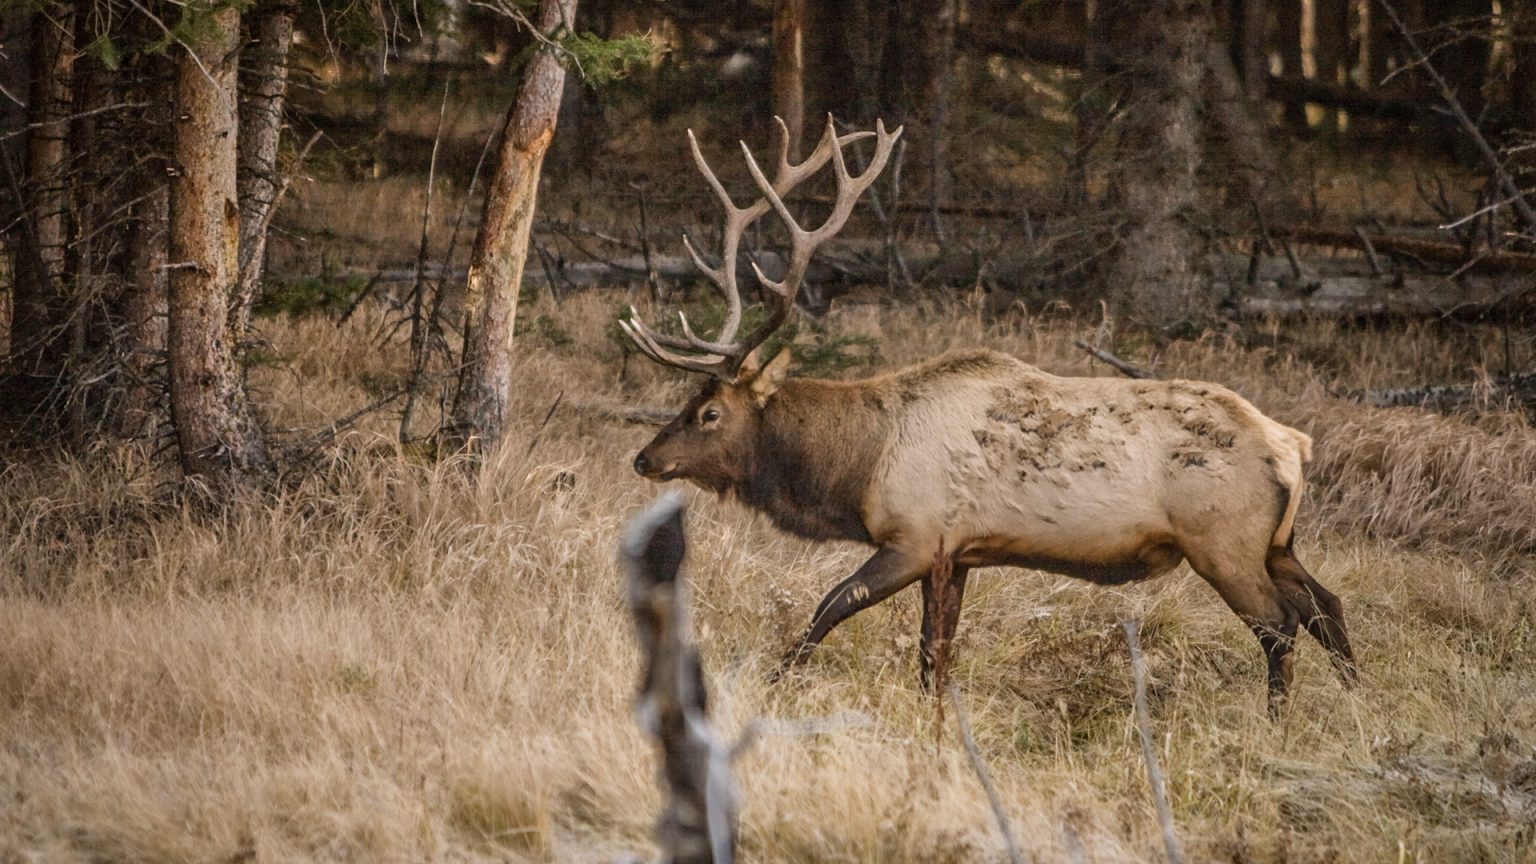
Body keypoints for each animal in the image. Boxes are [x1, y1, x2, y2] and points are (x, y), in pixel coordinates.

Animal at [621, 117, 1357, 715]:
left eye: (708, 412)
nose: (645, 458)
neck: (857, 466)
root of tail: (1293, 444)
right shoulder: (958, 554)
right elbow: (934, 650)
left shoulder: (916, 537)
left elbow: (830, 608)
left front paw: (775, 683)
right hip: (1276, 542)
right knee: (1327, 606)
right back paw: (1358, 703)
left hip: (1222, 541)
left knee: (1280, 625)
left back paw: (1277, 723)